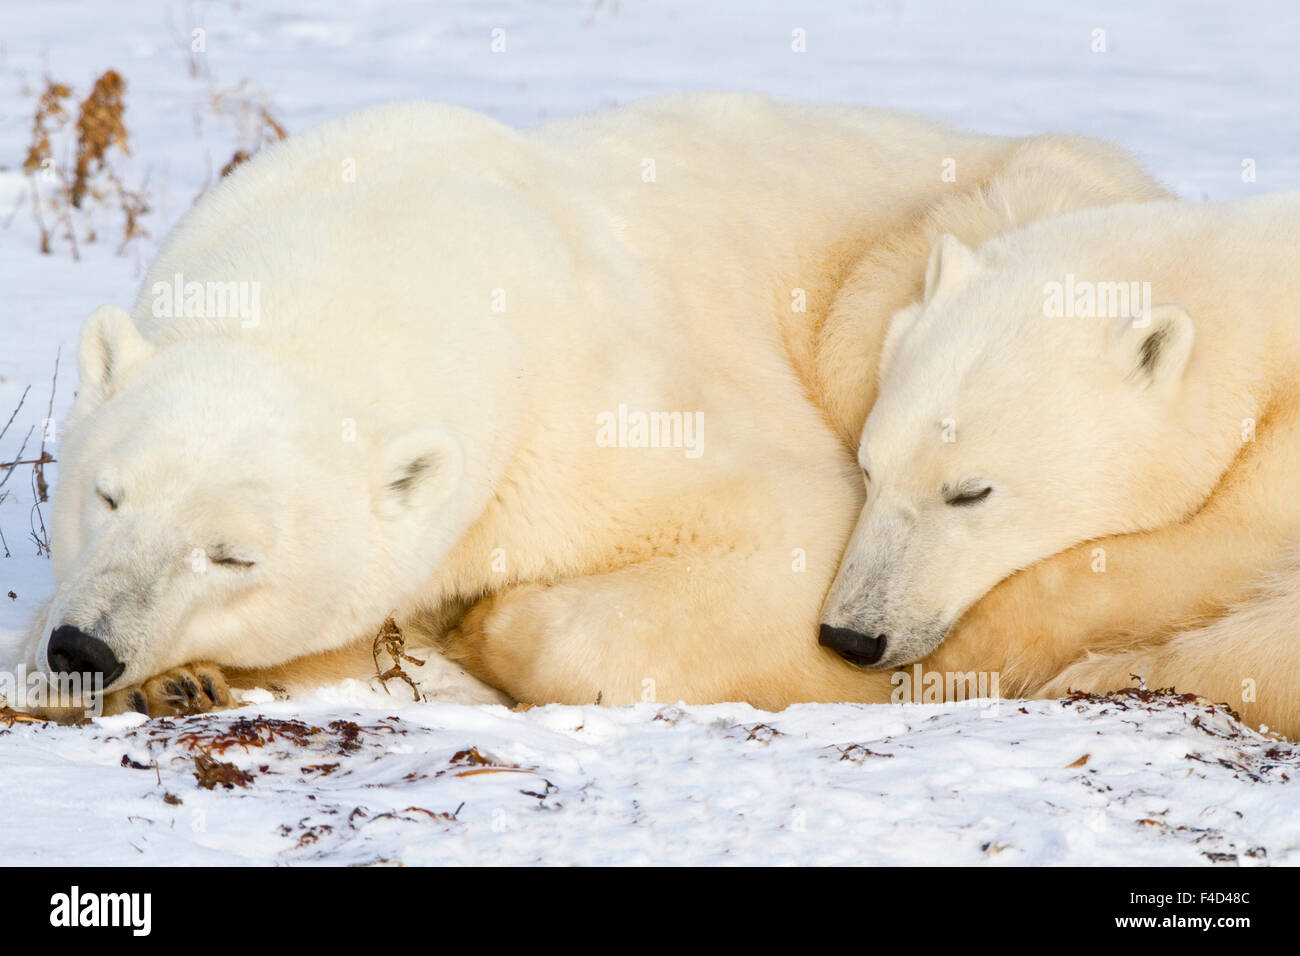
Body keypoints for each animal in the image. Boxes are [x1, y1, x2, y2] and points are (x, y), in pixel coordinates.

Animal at [17, 93, 1165, 716]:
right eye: (107, 497)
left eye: (232, 555)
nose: (88, 648)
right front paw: (167, 677)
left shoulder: (601, 410)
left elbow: (793, 533)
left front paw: (488, 628)